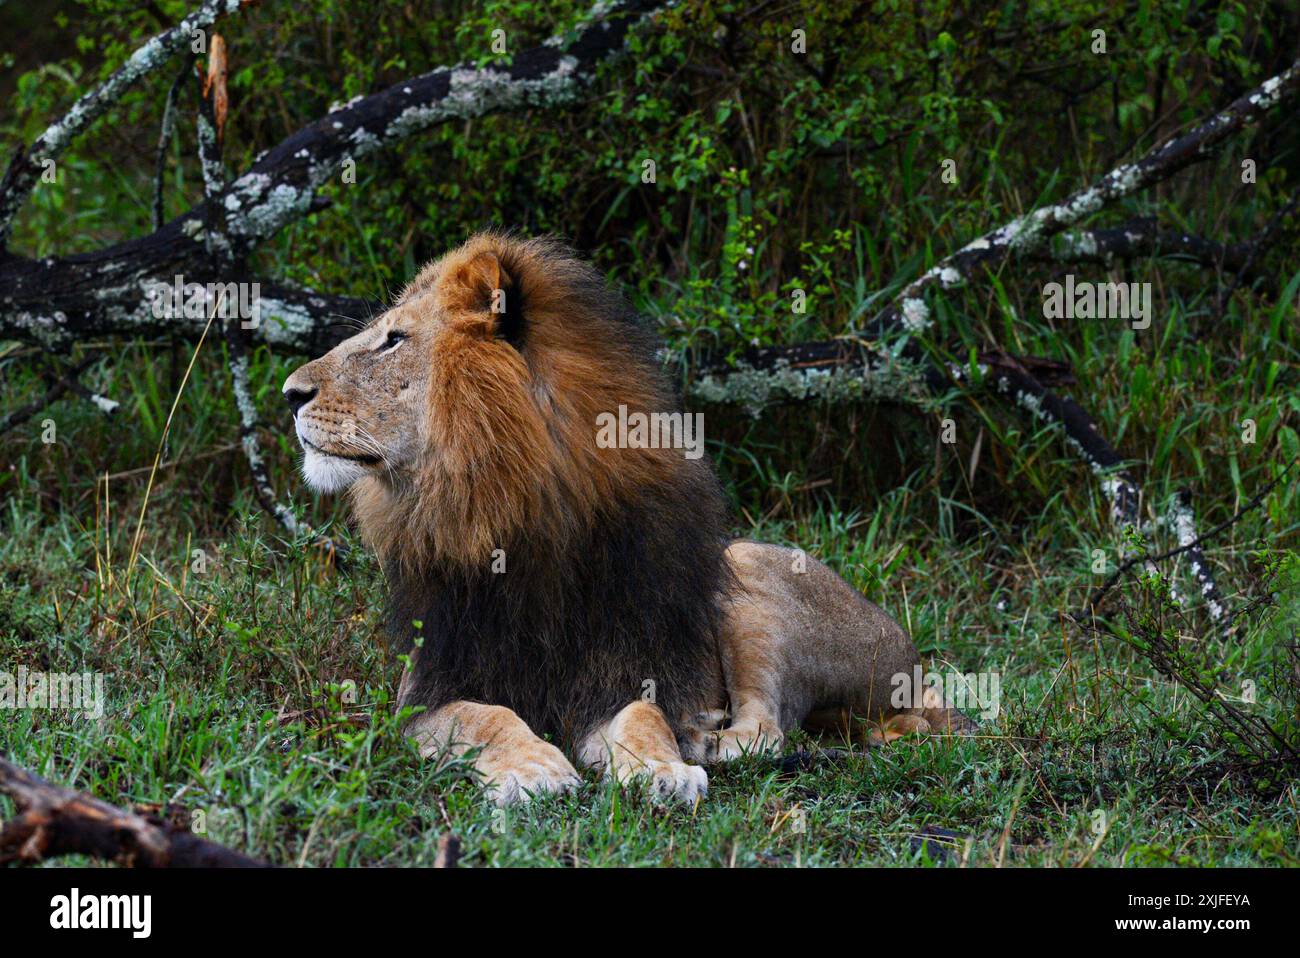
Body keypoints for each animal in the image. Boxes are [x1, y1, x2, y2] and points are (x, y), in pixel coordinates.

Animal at [283, 232, 974, 806]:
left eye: (393, 340)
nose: (289, 393)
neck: (514, 511)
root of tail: (912, 666)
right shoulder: (424, 691)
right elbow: (485, 715)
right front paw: (535, 767)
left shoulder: (627, 669)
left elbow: (643, 719)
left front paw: (663, 768)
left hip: (751, 574)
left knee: (769, 726)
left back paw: (710, 739)